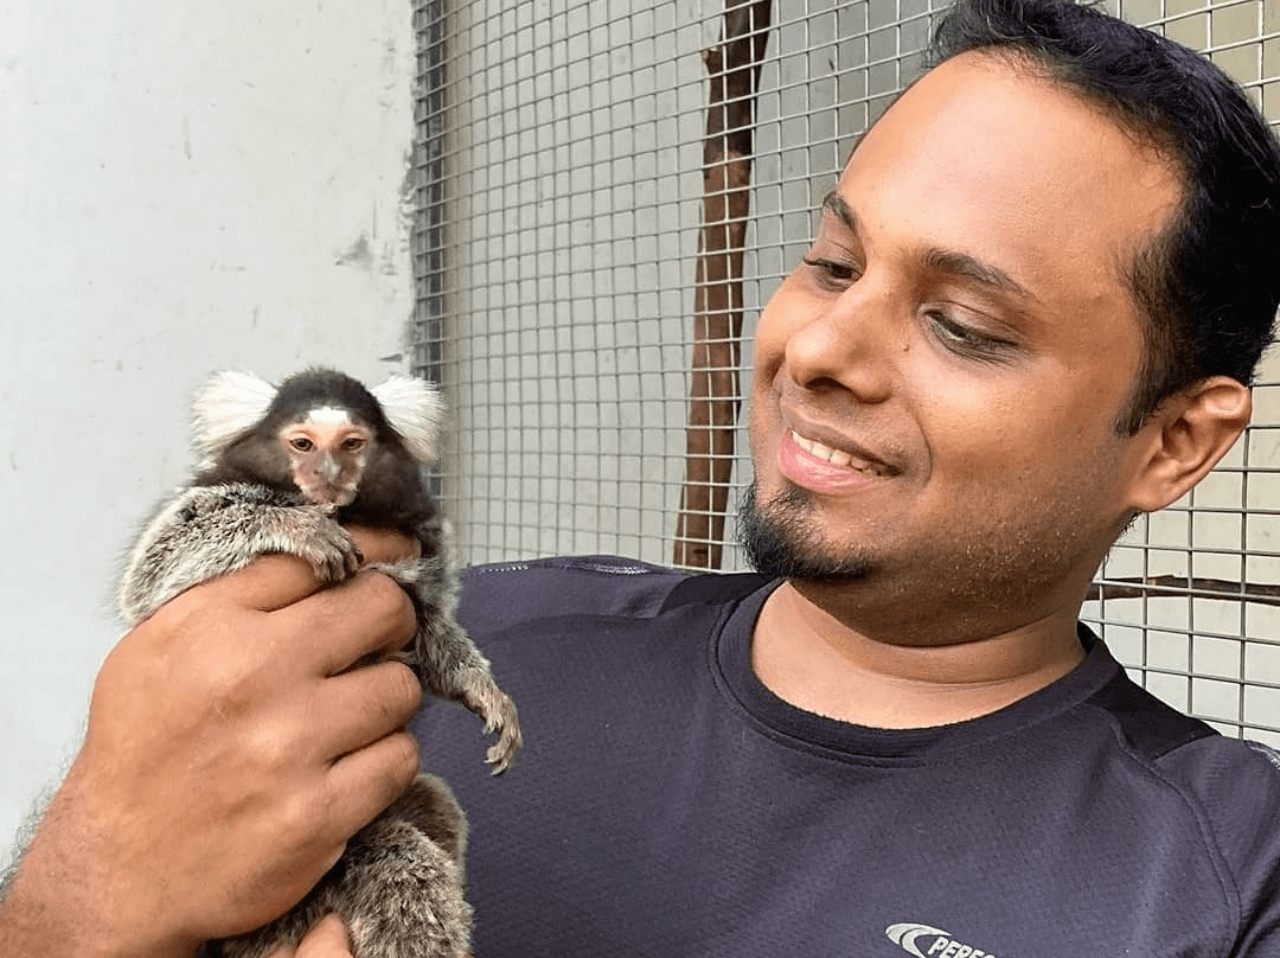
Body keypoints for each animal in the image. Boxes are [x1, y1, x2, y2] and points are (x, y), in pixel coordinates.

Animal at [117, 367, 522, 958]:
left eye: (352, 444)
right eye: (303, 444)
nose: (328, 474)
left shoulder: (420, 548)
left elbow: (432, 635)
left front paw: (483, 691)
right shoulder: (205, 502)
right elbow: (155, 568)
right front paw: (295, 527)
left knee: (435, 804)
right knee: (399, 864)